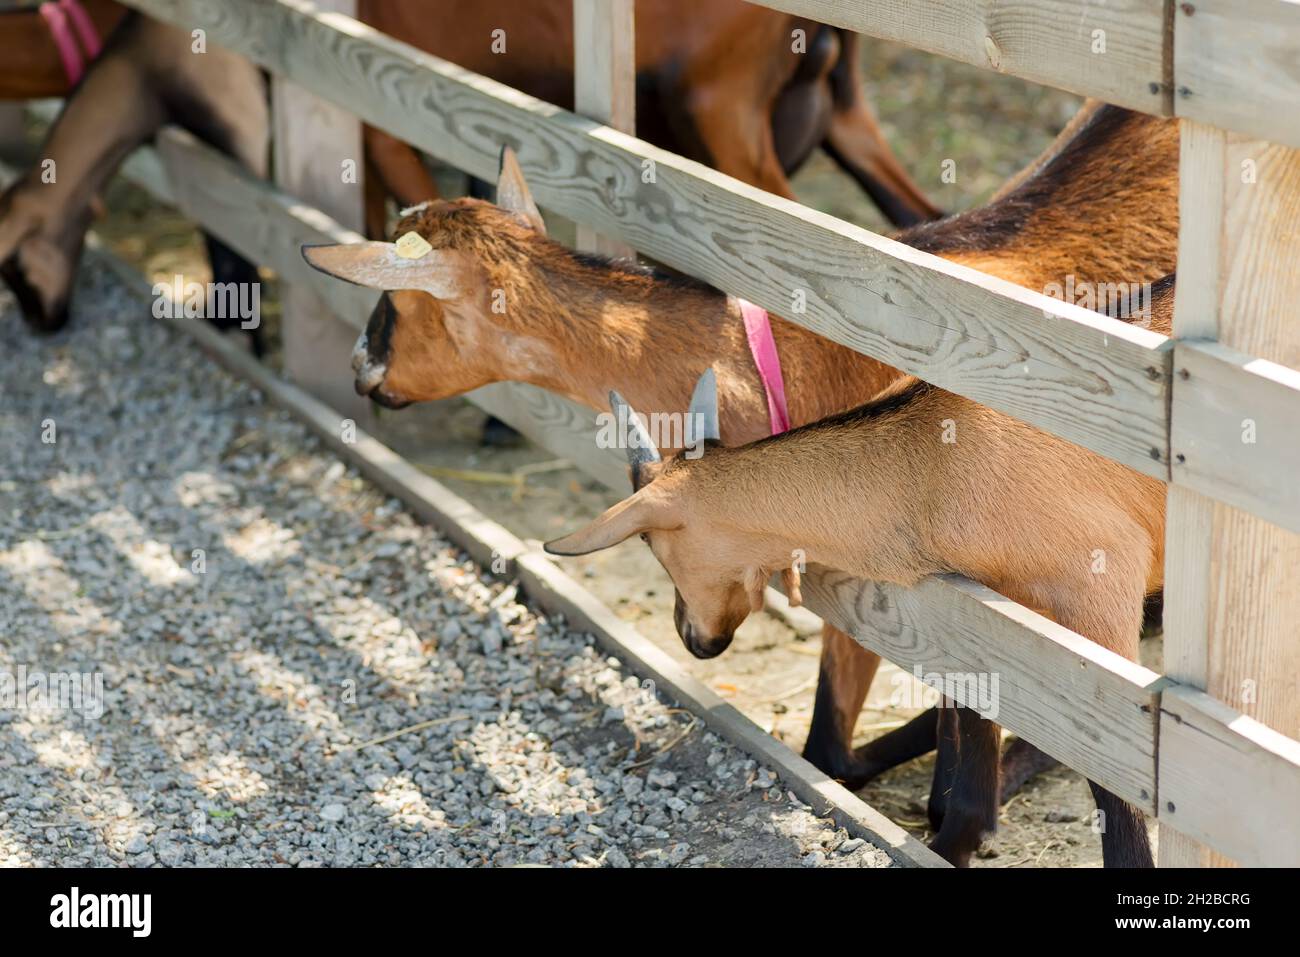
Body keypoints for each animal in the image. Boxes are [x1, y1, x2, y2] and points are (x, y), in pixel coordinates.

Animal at [543, 297, 1175, 867]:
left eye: (651, 543)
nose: (692, 637)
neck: (932, 471)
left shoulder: (1102, 588)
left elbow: (1112, 773)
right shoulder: (979, 609)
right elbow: (975, 721)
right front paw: (954, 835)